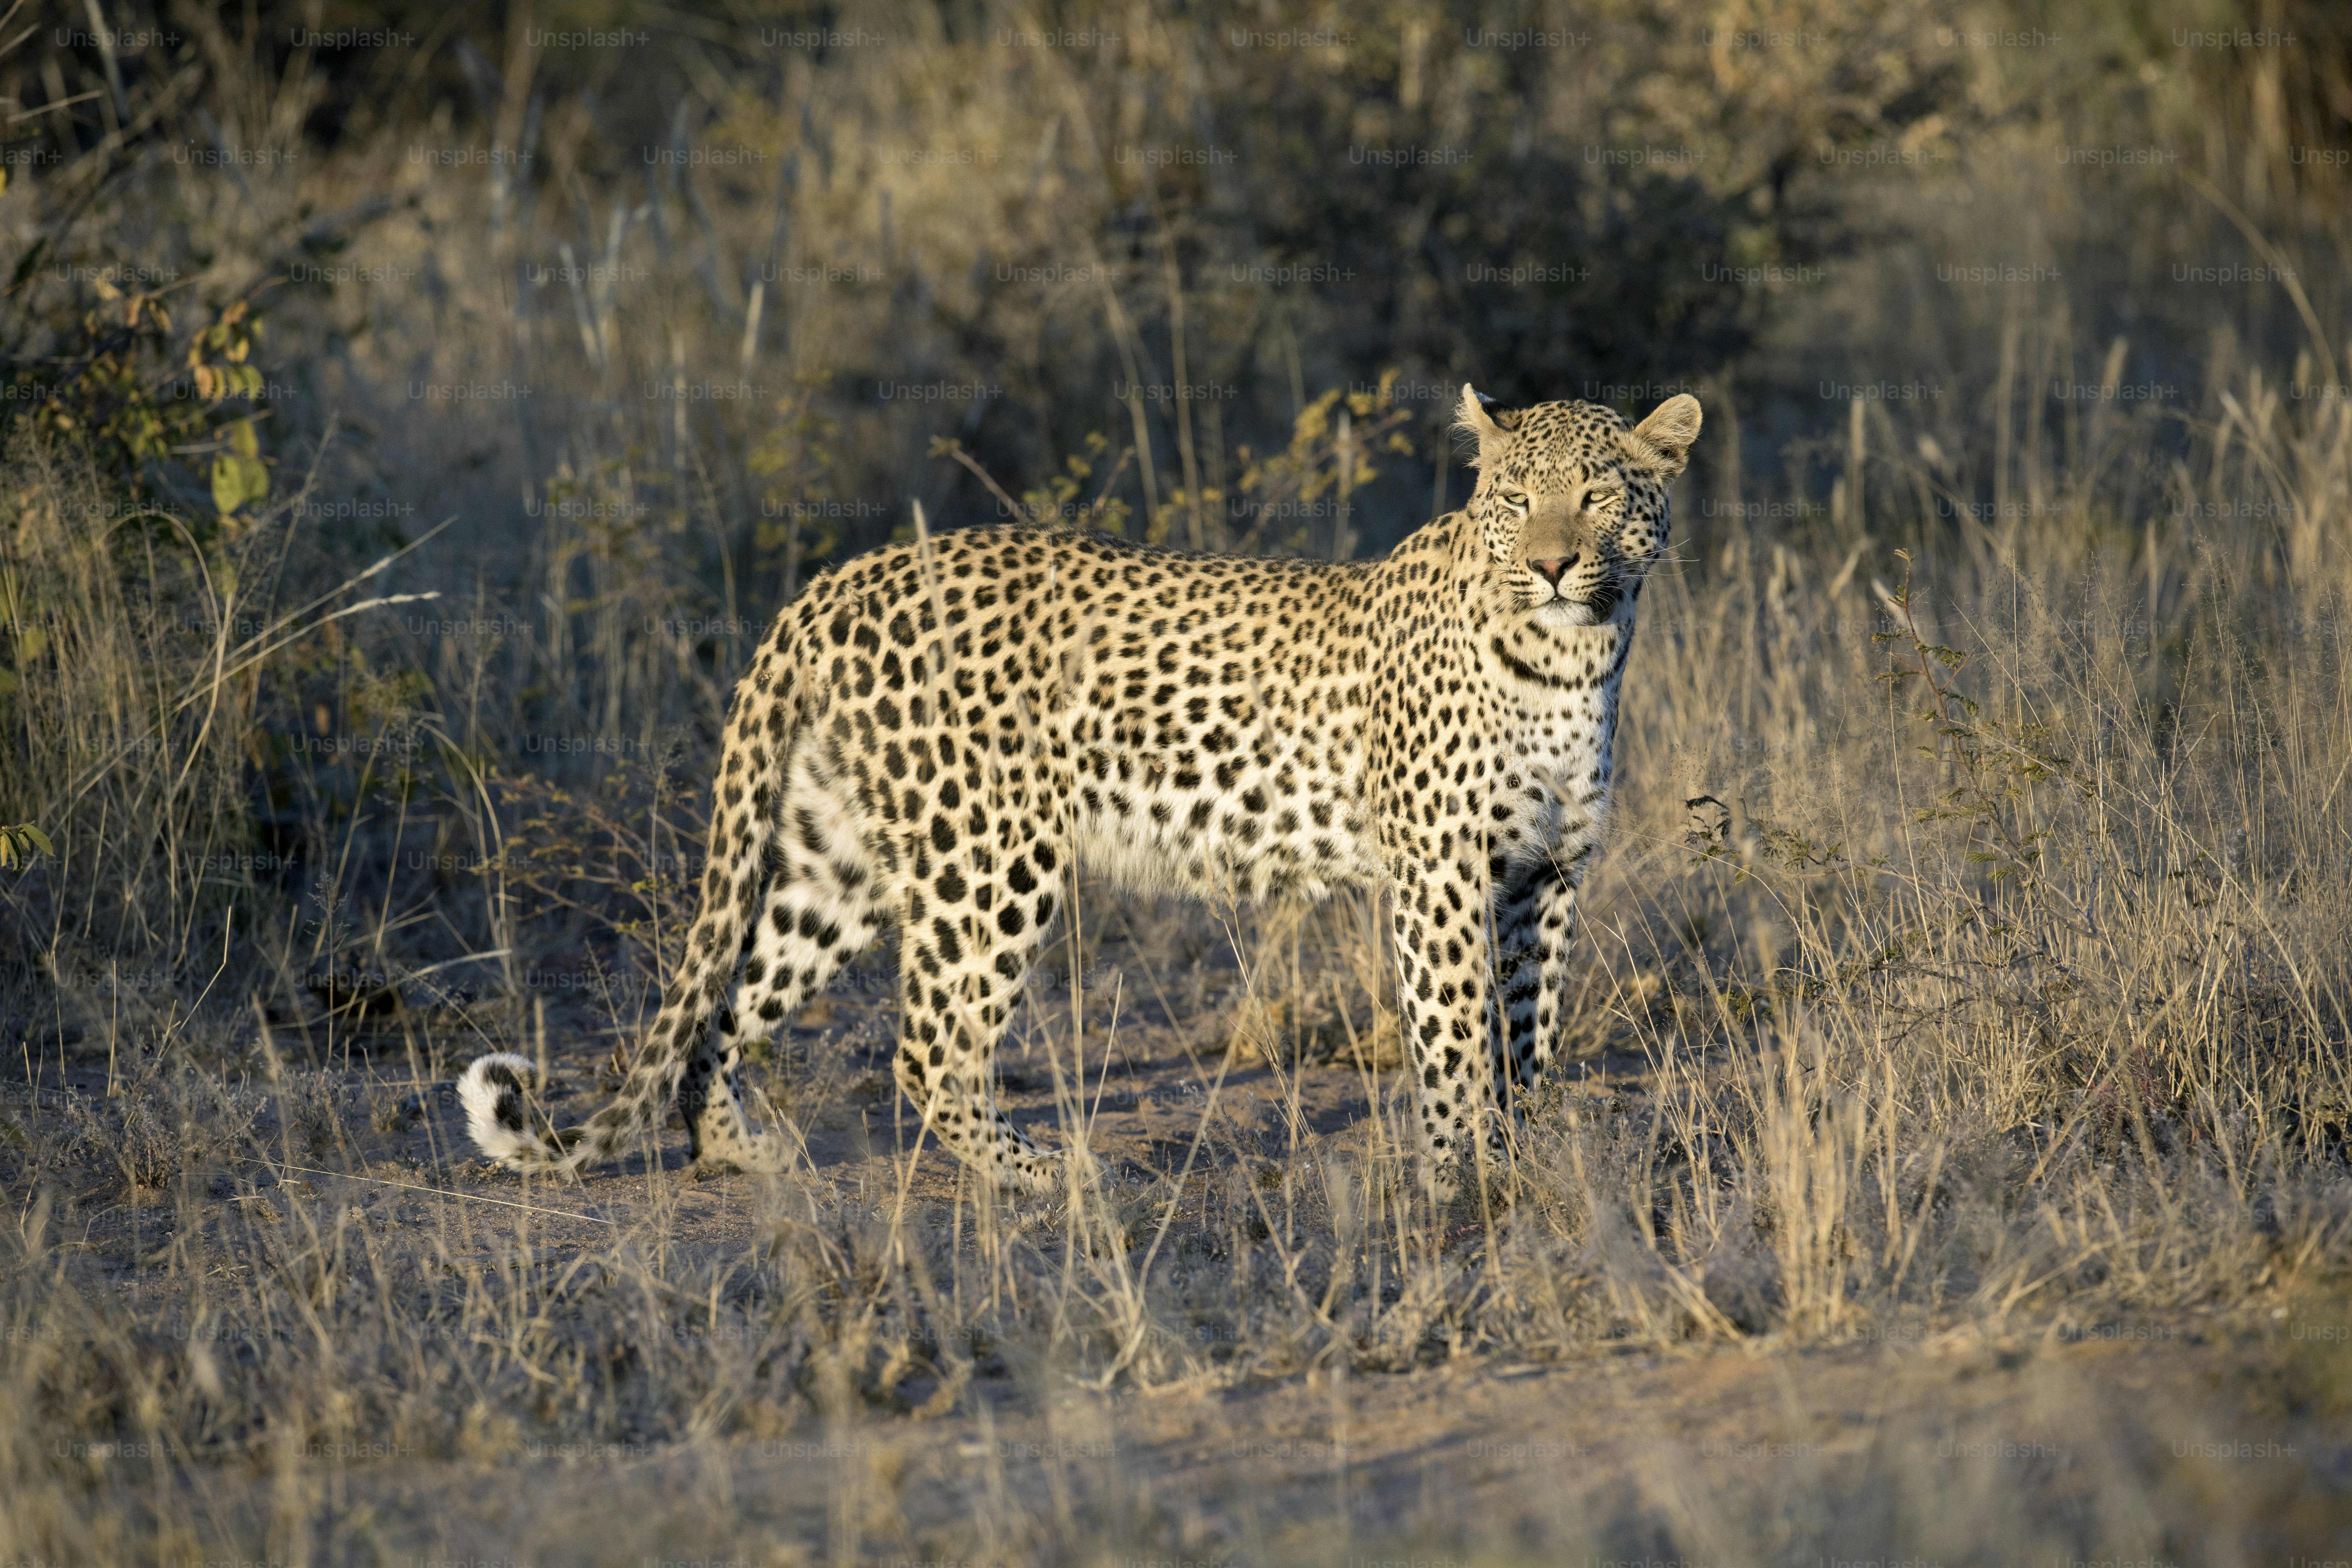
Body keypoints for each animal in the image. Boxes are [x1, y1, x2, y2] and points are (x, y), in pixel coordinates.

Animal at [462, 384, 1701, 1199]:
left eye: (1597, 497)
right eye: (1515, 499)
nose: (1548, 562)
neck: (1575, 656)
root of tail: (834, 581)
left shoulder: (1545, 874)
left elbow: (1528, 1031)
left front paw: (1526, 1152)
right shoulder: (1441, 873)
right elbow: (1454, 1038)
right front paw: (1462, 1180)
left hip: (841, 858)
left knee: (729, 1008)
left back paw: (740, 1152)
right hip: (989, 856)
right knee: (926, 1046)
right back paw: (1047, 1174)